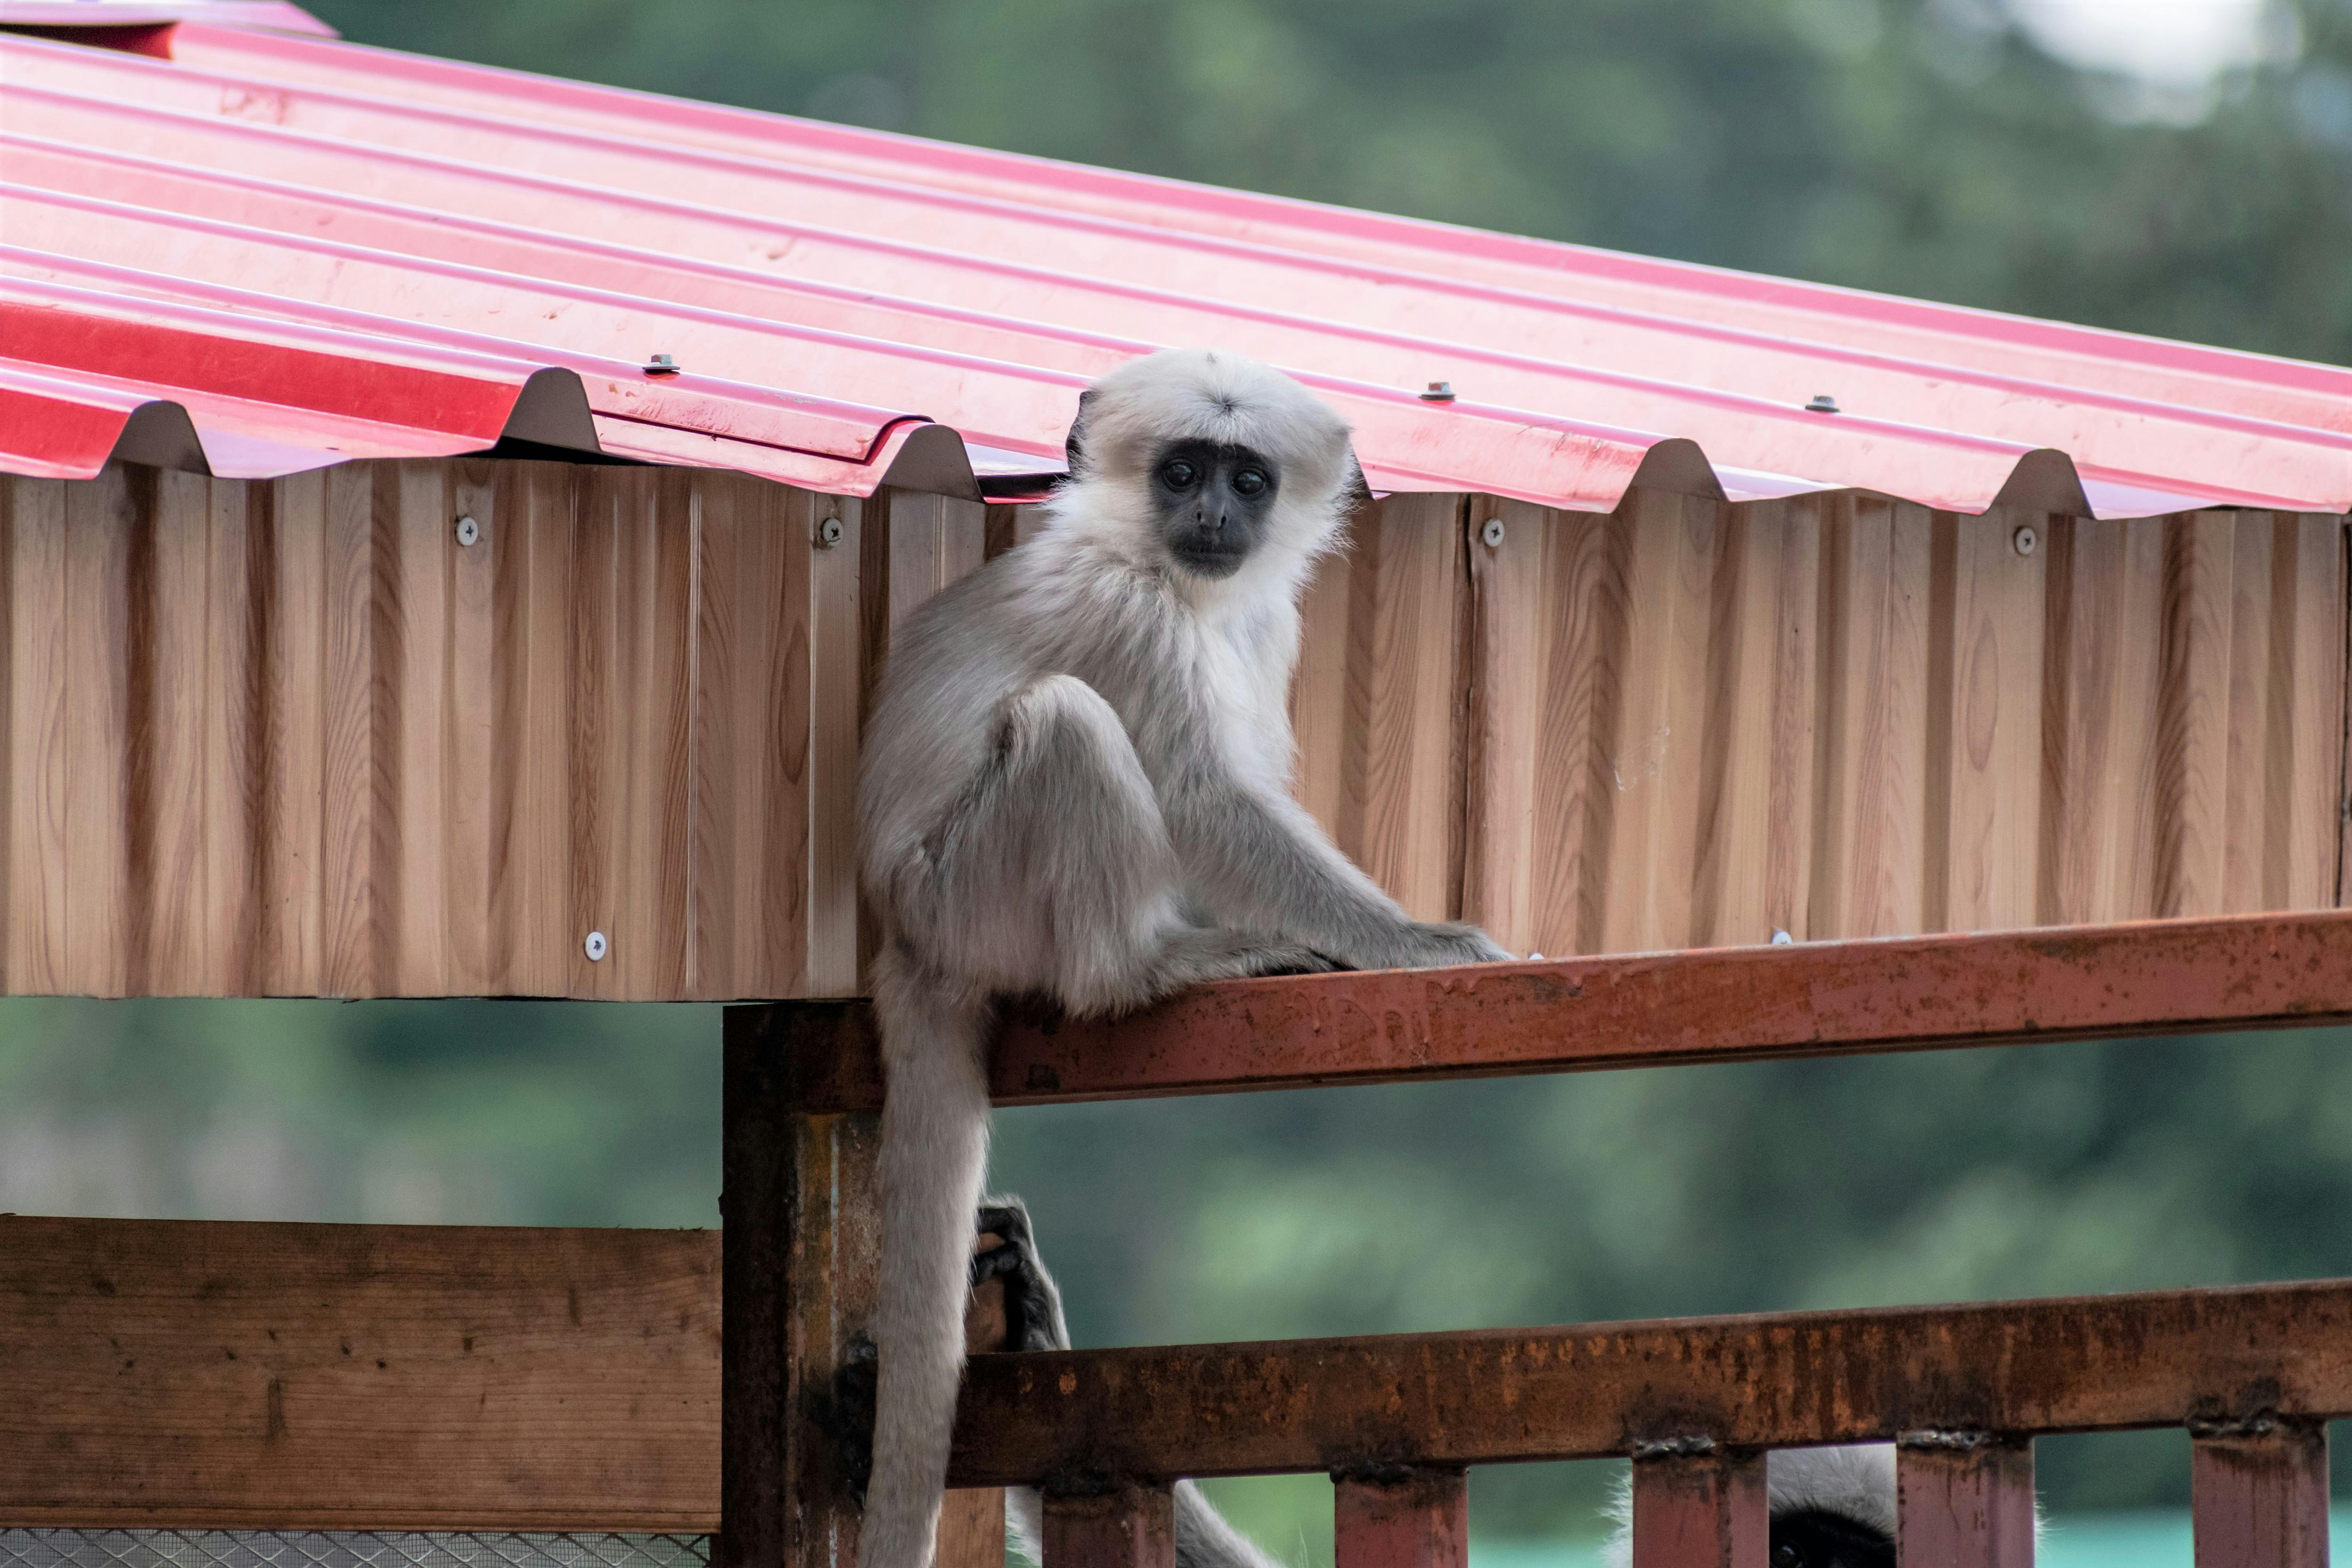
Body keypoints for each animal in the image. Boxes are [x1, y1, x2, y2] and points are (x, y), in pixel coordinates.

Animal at [855, 348, 1512, 1568]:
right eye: (1182, 471)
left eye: (1245, 478)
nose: (1212, 513)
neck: (1156, 560)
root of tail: (906, 929)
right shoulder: (1133, 614)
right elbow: (1205, 799)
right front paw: (1414, 939)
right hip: (972, 892)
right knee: (1067, 720)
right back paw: (1148, 965)